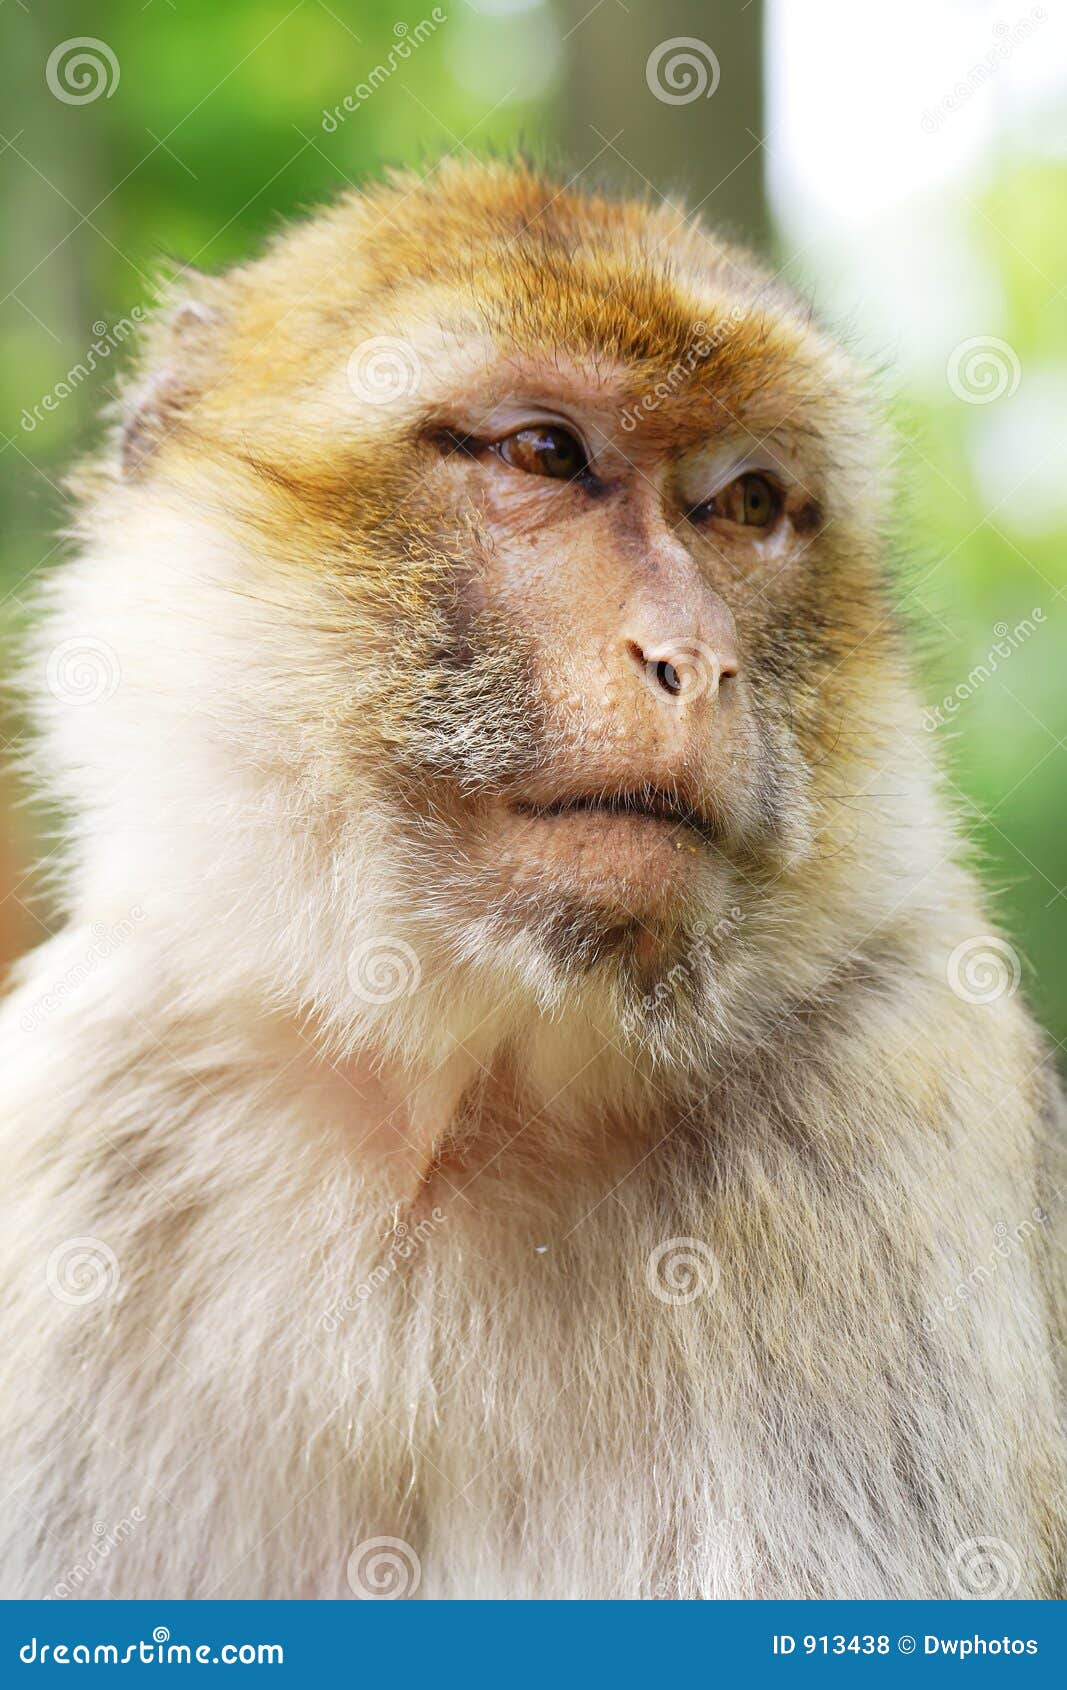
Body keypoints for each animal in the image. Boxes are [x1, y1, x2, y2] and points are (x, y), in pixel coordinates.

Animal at [0, 157, 1063, 1601]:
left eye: (742, 504)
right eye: (544, 455)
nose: (693, 657)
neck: (457, 1096)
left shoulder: (883, 1112)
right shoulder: (82, 1111)